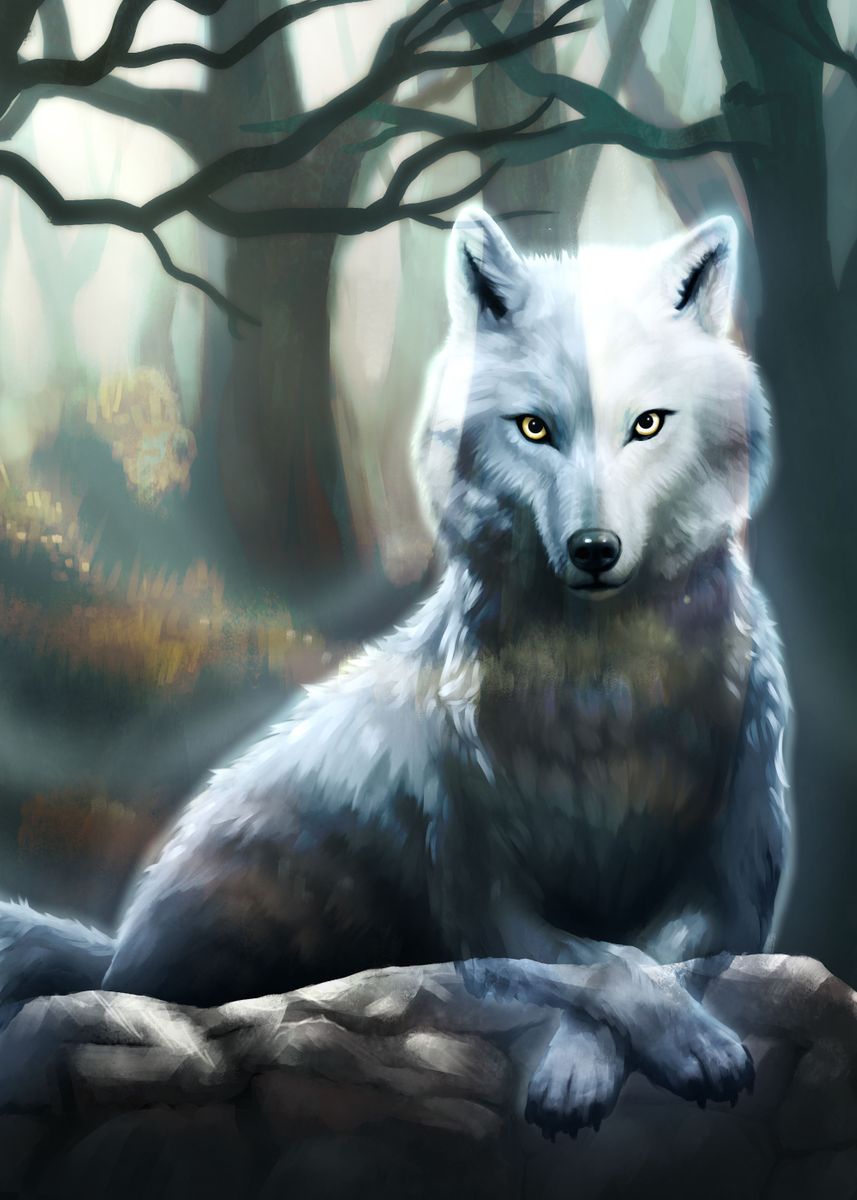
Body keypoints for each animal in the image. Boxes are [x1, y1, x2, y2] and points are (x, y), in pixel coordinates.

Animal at [0, 209, 790, 1138]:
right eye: (534, 429)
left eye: (647, 424)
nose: (593, 550)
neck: (603, 689)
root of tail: (117, 943)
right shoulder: (487, 915)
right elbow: (610, 966)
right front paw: (618, 1065)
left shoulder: (726, 896)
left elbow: (646, 959)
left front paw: (643, 1057)